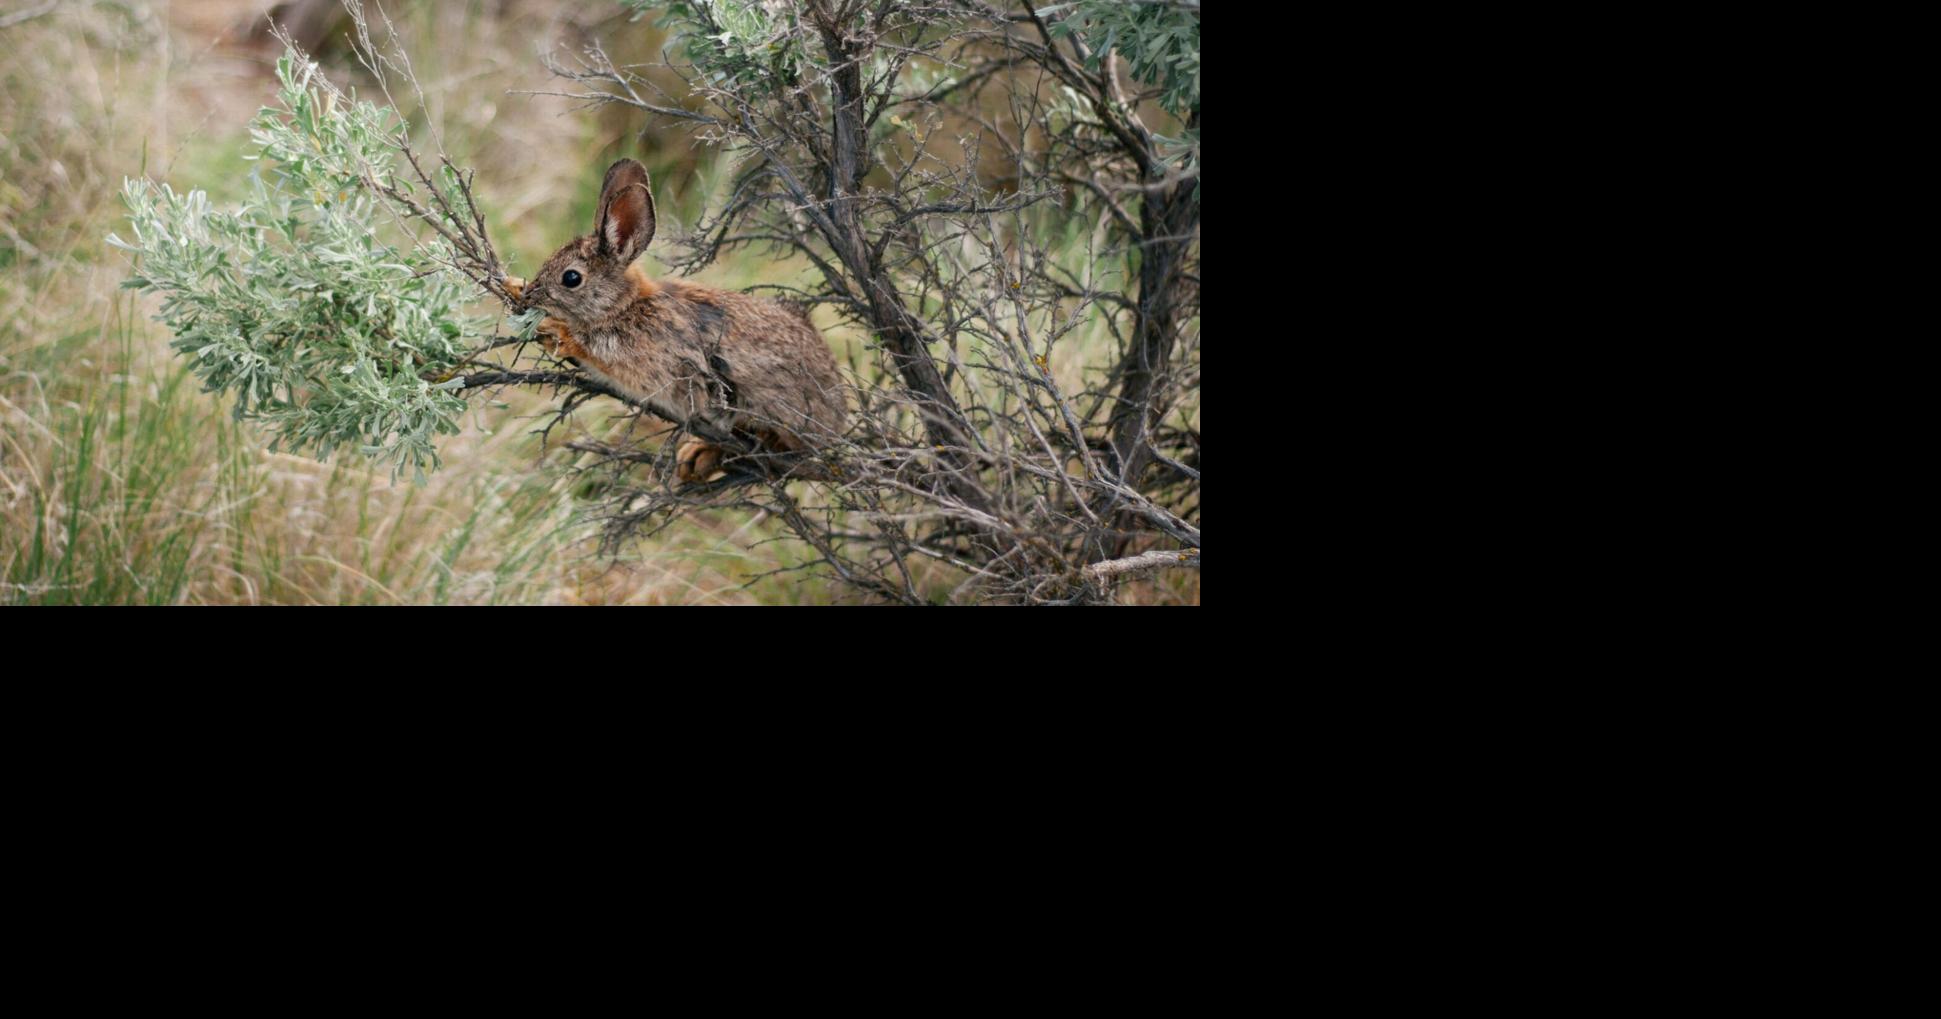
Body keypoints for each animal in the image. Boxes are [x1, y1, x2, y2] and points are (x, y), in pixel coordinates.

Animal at [504, 159, 845, 482]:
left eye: (571, 278)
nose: (531, 296)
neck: (624, 306)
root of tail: (839, 412)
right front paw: (514, 285)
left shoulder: (646, 363)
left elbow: (597, 354)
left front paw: (557, 331)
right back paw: (696, 456)